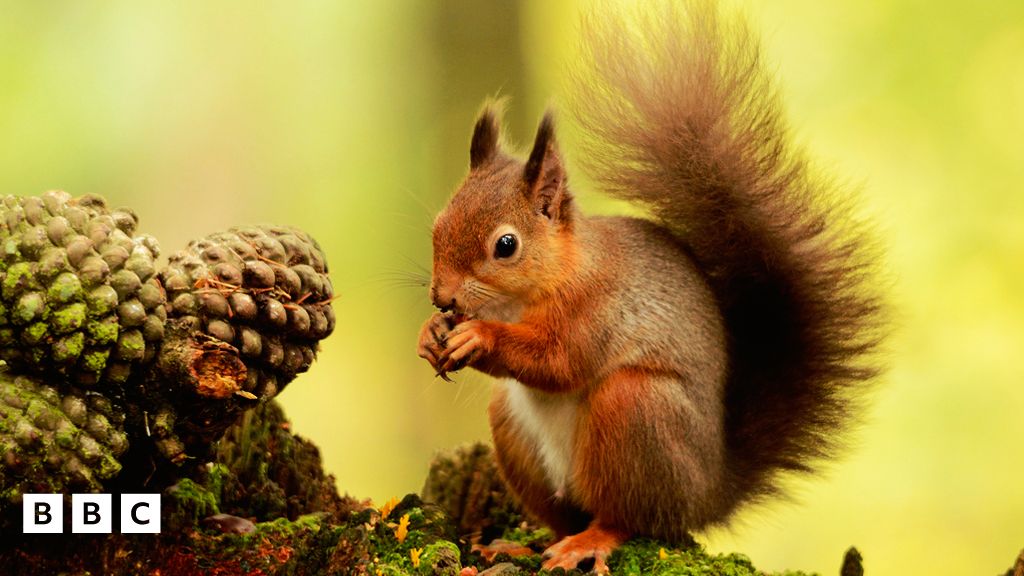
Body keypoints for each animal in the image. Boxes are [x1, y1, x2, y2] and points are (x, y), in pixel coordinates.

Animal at [417, 1, 883, 573]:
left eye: (506, 245)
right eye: (438, 226)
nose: (442, 298)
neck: (523, 296)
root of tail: (708, 492)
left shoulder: (597, 307)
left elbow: (559, 360)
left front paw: (477, 337)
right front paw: (430, 333)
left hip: (636, 411)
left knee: (630, 519)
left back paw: (589, 542)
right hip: (513, 426)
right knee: (564, 514)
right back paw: (522, 544)